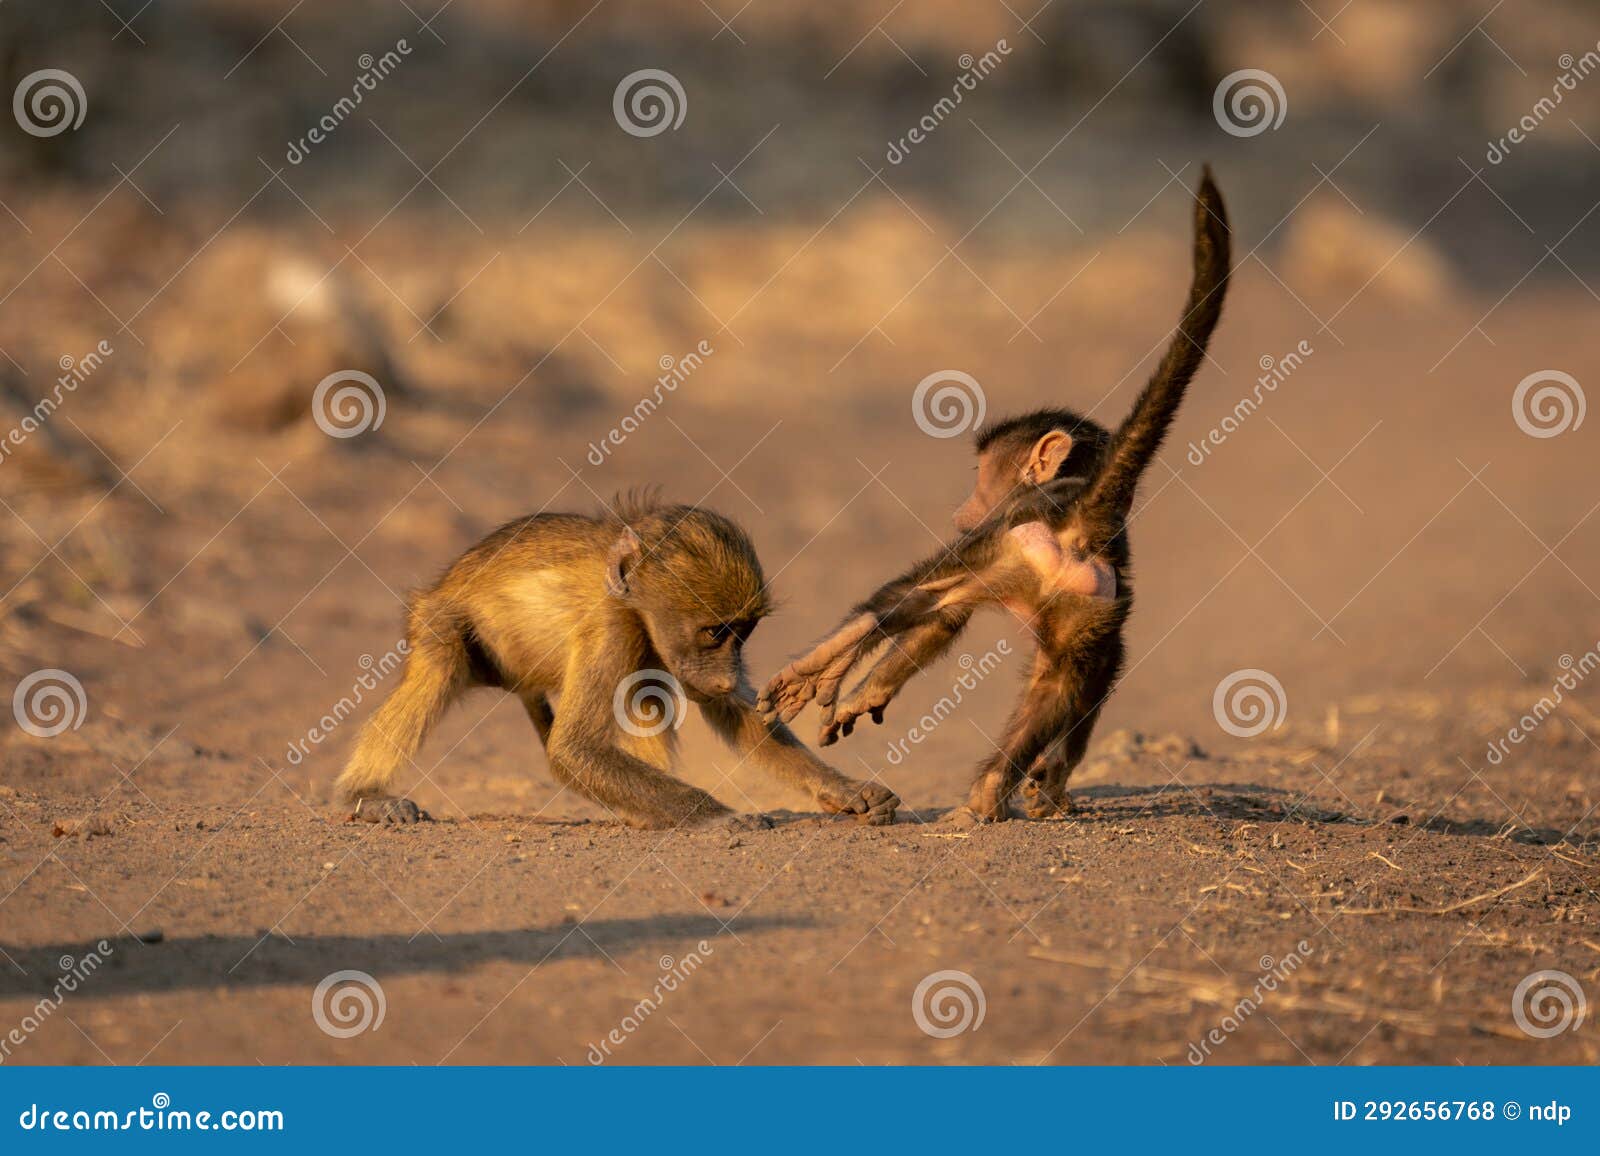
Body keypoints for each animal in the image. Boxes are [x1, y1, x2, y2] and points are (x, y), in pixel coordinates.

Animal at [335, 493, 901, 830]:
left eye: (741, 634)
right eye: (715, 632)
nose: (726, 677)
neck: (635, 602)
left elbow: (732, 717)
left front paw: (847, 790)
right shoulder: (612, 629)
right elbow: (575, 750)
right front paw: (717, 817)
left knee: (643, 691)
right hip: (441, 620)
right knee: (440, 663)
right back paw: (365, 797)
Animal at [758, 167, 1230, 825]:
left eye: (981, 479)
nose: (964, 509)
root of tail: (1083, 519)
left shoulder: (1008, 524)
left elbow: (934, 601)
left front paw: (846, 676)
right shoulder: (1090, 602)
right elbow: (981, 629)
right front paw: (1048, 780)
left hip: (1015, 539)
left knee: (914, 593)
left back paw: (841, 653)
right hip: (1077, 598)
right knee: (1055, 680)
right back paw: (993, 793)